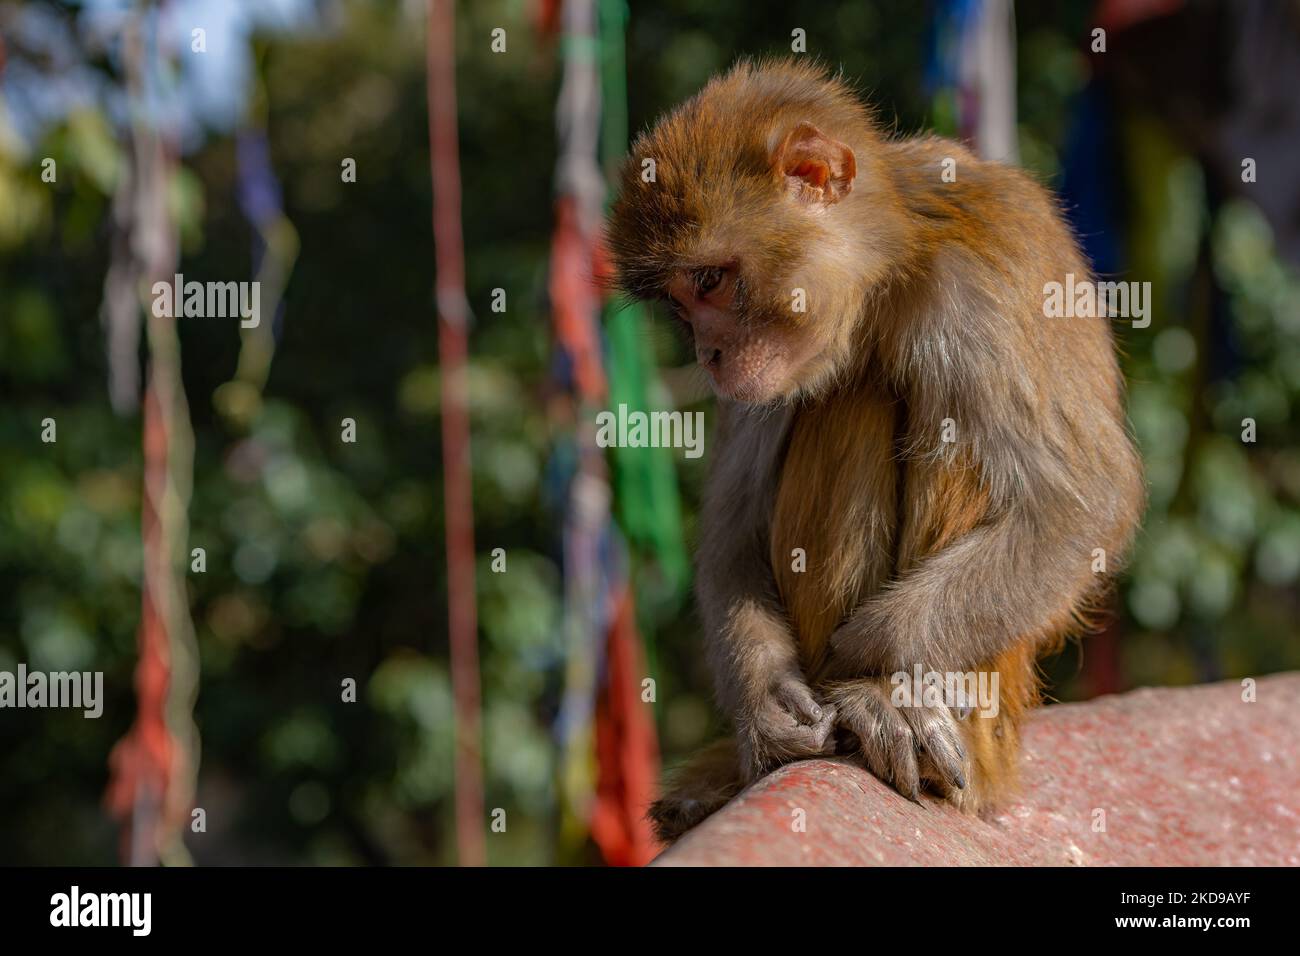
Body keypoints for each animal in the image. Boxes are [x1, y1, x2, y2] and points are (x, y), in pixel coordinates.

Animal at [607, 59, 1144, 844]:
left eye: (709, 281)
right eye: (679, 303)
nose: (707, 354)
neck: (892, 267)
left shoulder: (976, 292)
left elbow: (1080, 504)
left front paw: (862, 671)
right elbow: (733, 528)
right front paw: (767, 708)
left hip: (995, 716)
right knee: (848, 399)